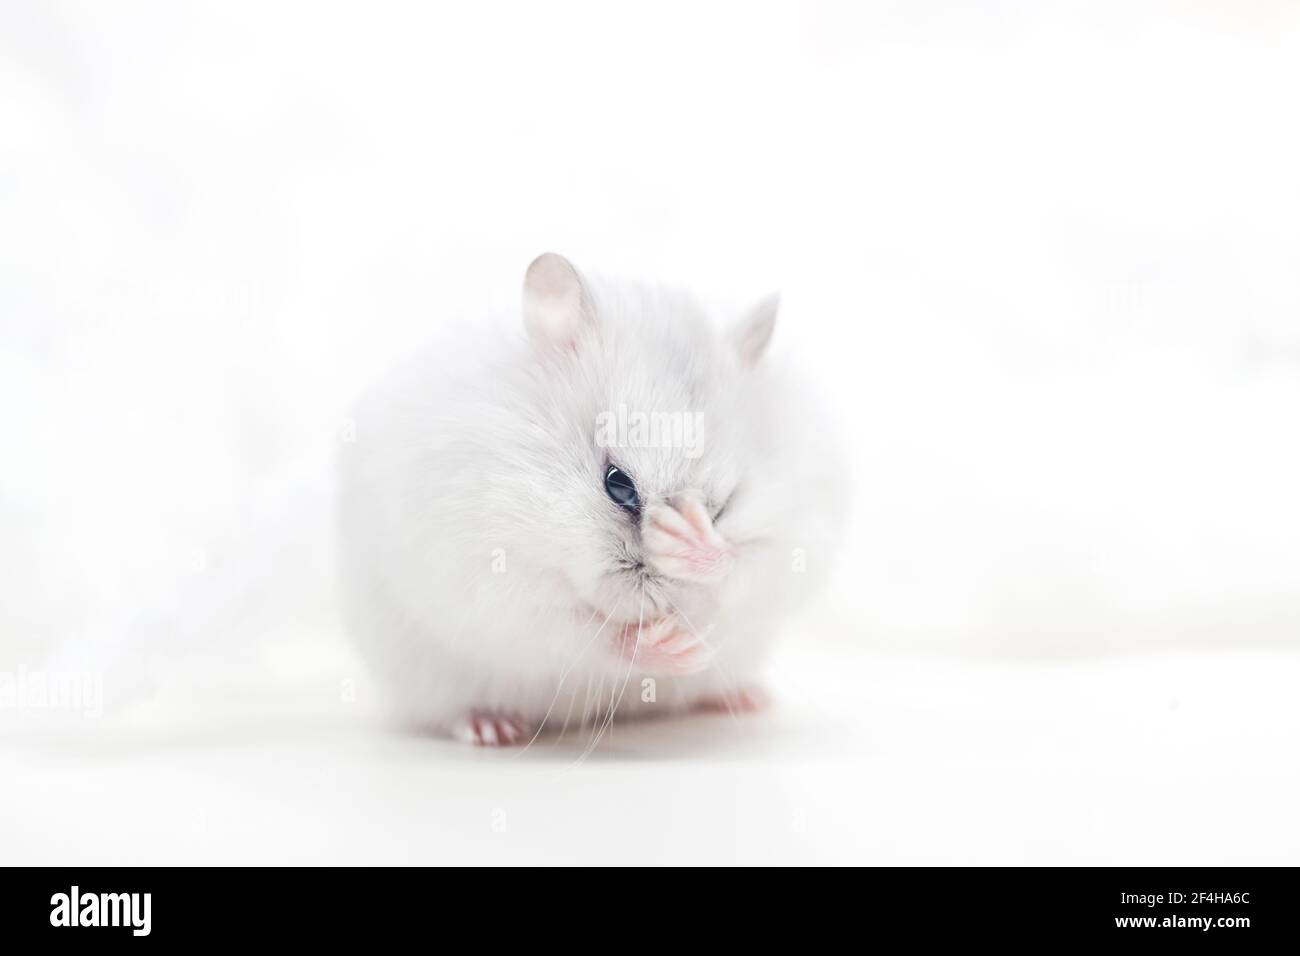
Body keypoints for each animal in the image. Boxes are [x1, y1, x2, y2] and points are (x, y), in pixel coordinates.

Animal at [337, 253, 844, 745]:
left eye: (723, 505)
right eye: (617, 485)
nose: (667, 600)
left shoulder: (787, 554)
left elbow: (738, 575)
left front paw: (698, 604)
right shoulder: (494, 582)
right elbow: (585, 638)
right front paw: (675, 647)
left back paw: (748, 697)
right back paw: (493, 730)